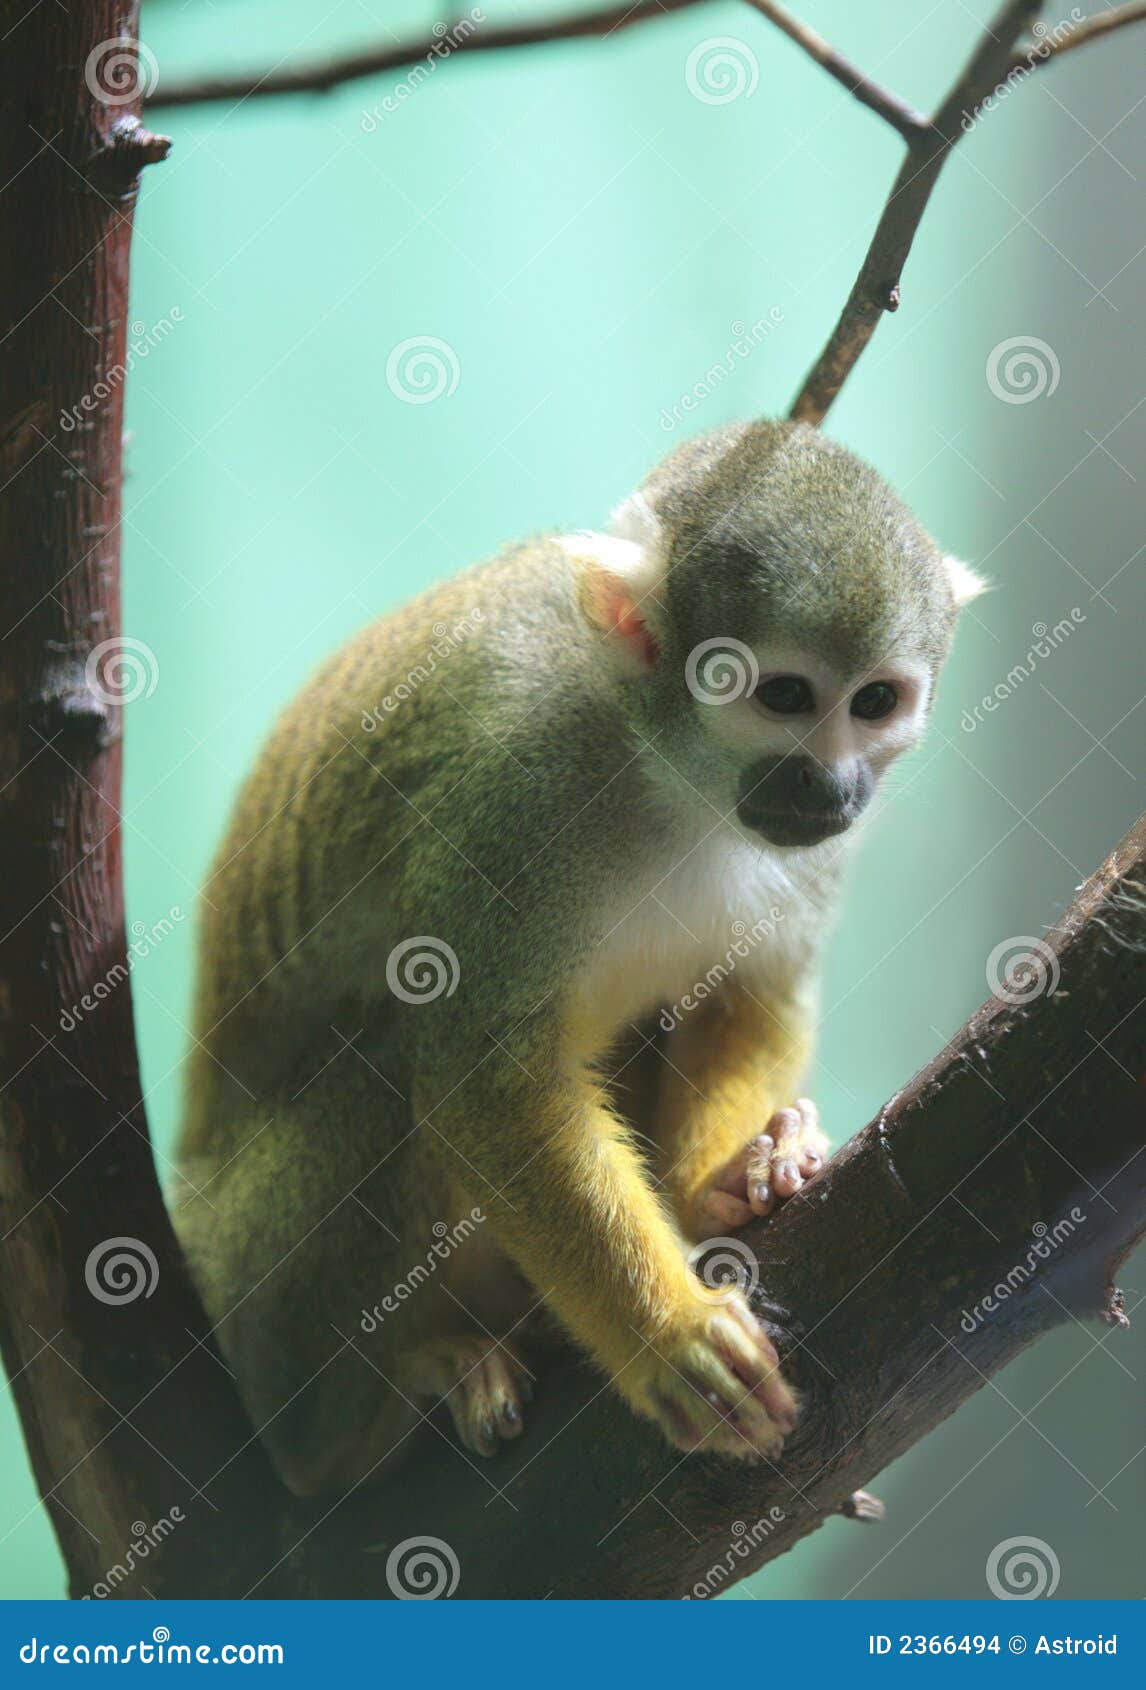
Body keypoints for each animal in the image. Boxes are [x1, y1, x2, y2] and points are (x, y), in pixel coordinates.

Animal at [173, 417, 984, 1496]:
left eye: (876, 701)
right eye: (783, 694)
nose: (829, 784)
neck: (672, 771)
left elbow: (754, 994)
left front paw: (728, 1180)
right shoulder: (518, 783)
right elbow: (483, 1076)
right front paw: (672, 1339)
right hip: (251, 1300)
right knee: (383, 1066)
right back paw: (368, 1416)